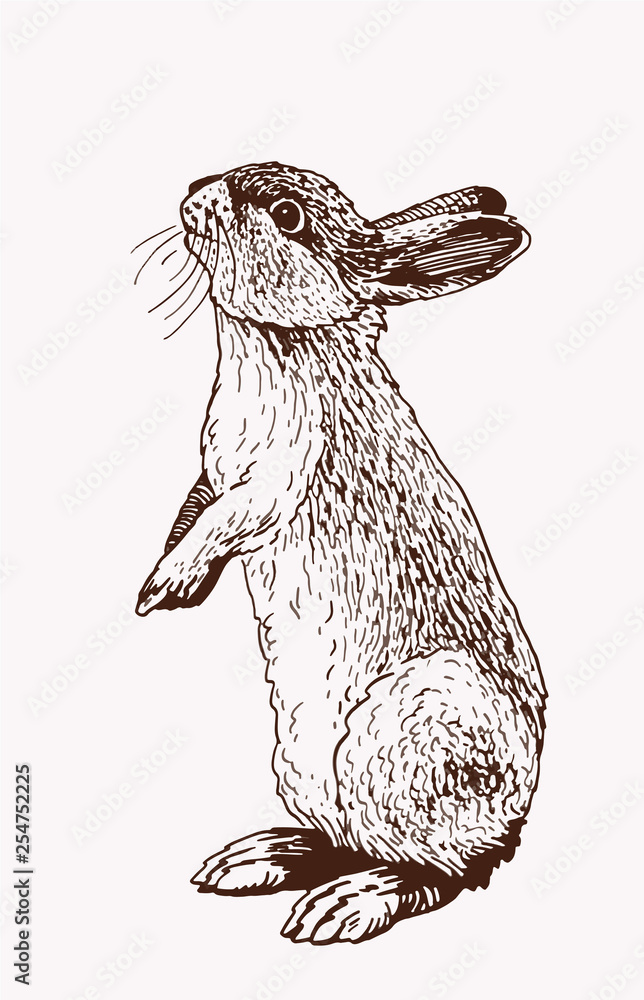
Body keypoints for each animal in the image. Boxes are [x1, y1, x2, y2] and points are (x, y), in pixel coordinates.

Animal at [135, 162, 547, 945]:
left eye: (287, 216)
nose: (195, 194)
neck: (288, 338)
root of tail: (516, 813)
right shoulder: (213, 473)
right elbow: (195, 508)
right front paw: (166, 585)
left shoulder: (275, 477)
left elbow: (227, 520)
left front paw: (165, 586)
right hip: (303, 763)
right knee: (349, 840)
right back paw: (255, 860)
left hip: (395, 746)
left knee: (444, 872)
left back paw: (345, 905)